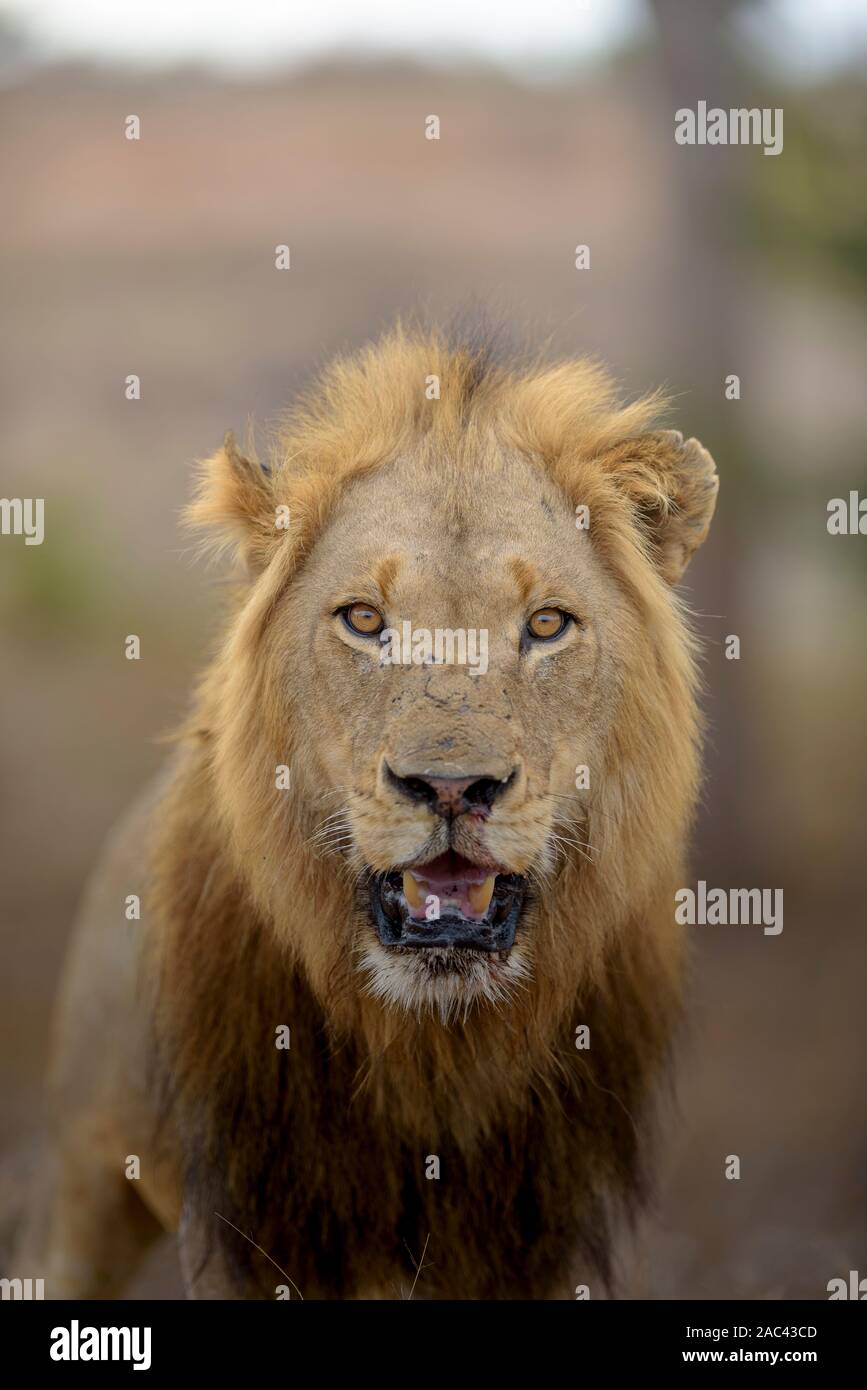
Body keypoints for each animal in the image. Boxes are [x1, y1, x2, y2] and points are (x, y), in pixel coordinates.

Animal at [21, 325, 717, 1300]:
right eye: (362, 619)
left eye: (546, 625)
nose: (453, 787)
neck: (432, 1043)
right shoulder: (247, 1226)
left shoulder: (539, 1236)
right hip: (79, 1181)